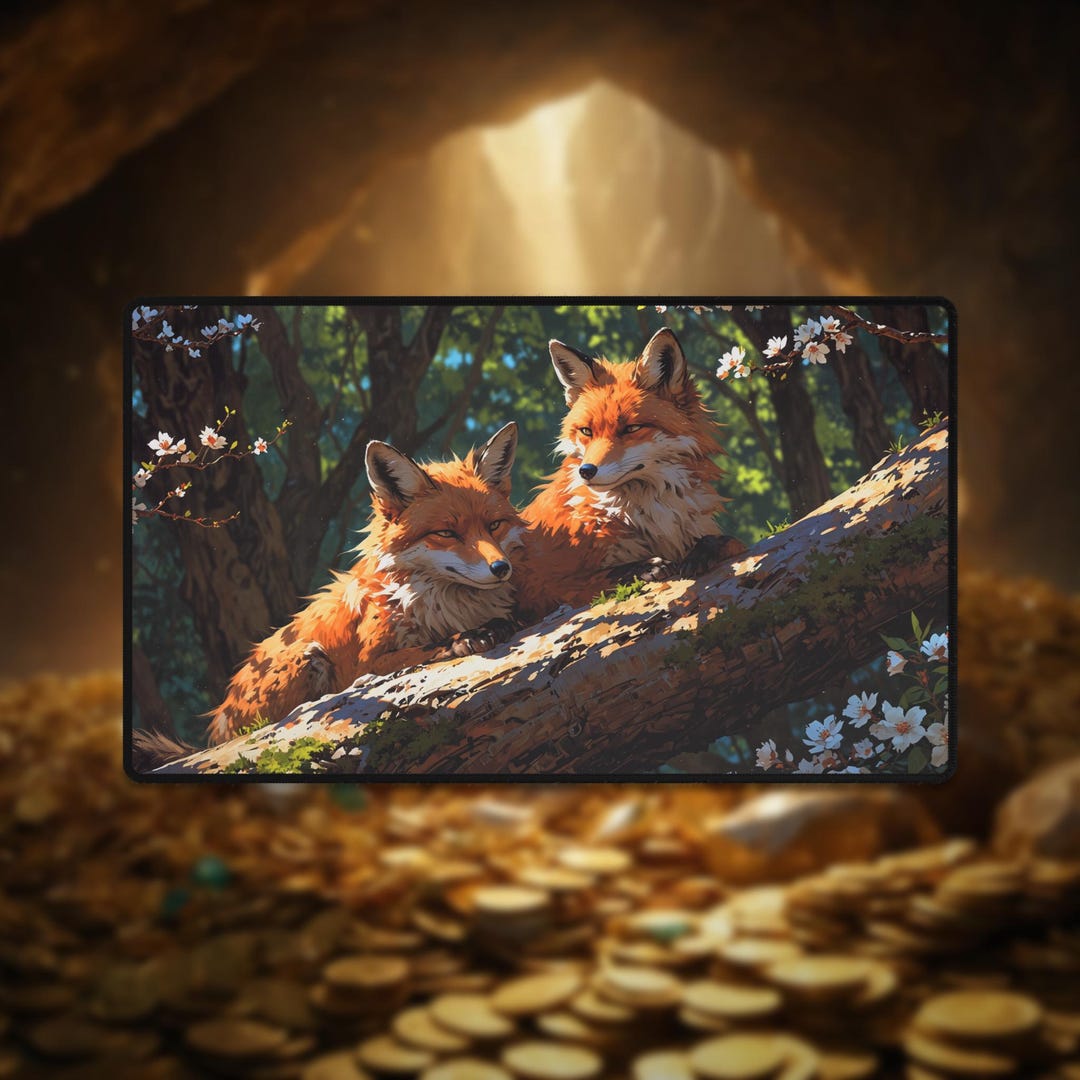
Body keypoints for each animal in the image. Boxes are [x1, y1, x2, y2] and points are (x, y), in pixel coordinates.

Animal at [133, 423, 524, 767]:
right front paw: (471, 637)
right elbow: (425, 649)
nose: (501, 568)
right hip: (309, 656)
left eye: (494, 525)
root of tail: (219, 721)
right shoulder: (369, 660)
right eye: (446, 533)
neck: (443, 603)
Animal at [515, 327, 745, 622]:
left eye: (631, 429)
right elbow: (601, 576)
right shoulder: (545, 585)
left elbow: (728, 540)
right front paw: (648, 567)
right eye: (587, 431)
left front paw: (701, 553)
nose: (586, 471)